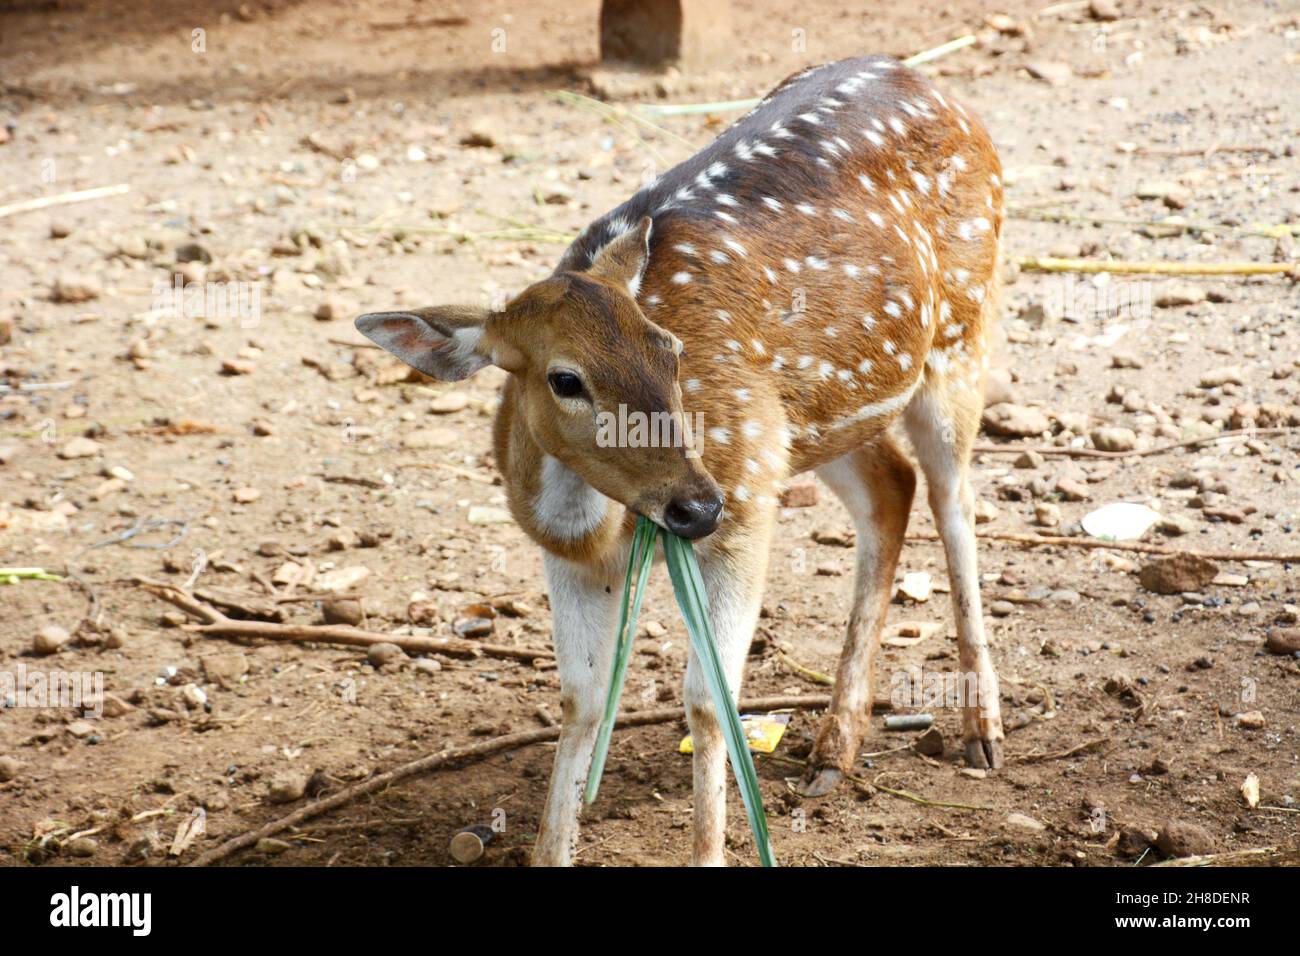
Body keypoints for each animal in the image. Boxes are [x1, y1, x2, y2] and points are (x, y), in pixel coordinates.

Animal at [356, 55, 1005, 866]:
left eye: (668, 350)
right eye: (565, 379)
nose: (694, 505)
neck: (607, 523)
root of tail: (935, 87)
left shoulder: (747, 503)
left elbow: (707, 700)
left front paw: (711, 849)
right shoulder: (572, 557)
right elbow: (580, 700)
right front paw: (552, 849)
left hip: (955, 339)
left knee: (956, 501)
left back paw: (982, 731)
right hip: (814, 423)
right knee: (893, 487)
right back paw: (833, 751)